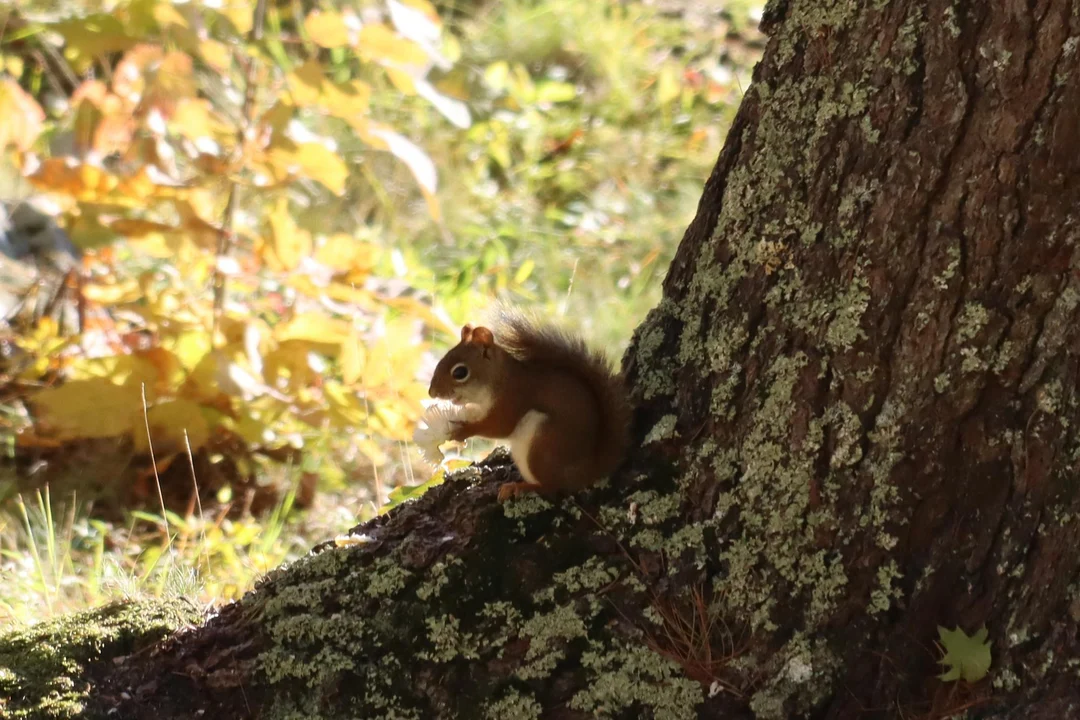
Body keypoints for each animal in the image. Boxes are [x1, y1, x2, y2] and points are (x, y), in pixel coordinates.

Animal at [415, 306, 631, 502]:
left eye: (460, 372)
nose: (432, 392)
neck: (499, 378)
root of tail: (587, 471)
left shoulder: (513, 398)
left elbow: (499, 427)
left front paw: (462, 431)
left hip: (543, 443)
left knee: (551, 486)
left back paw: (521, 487)